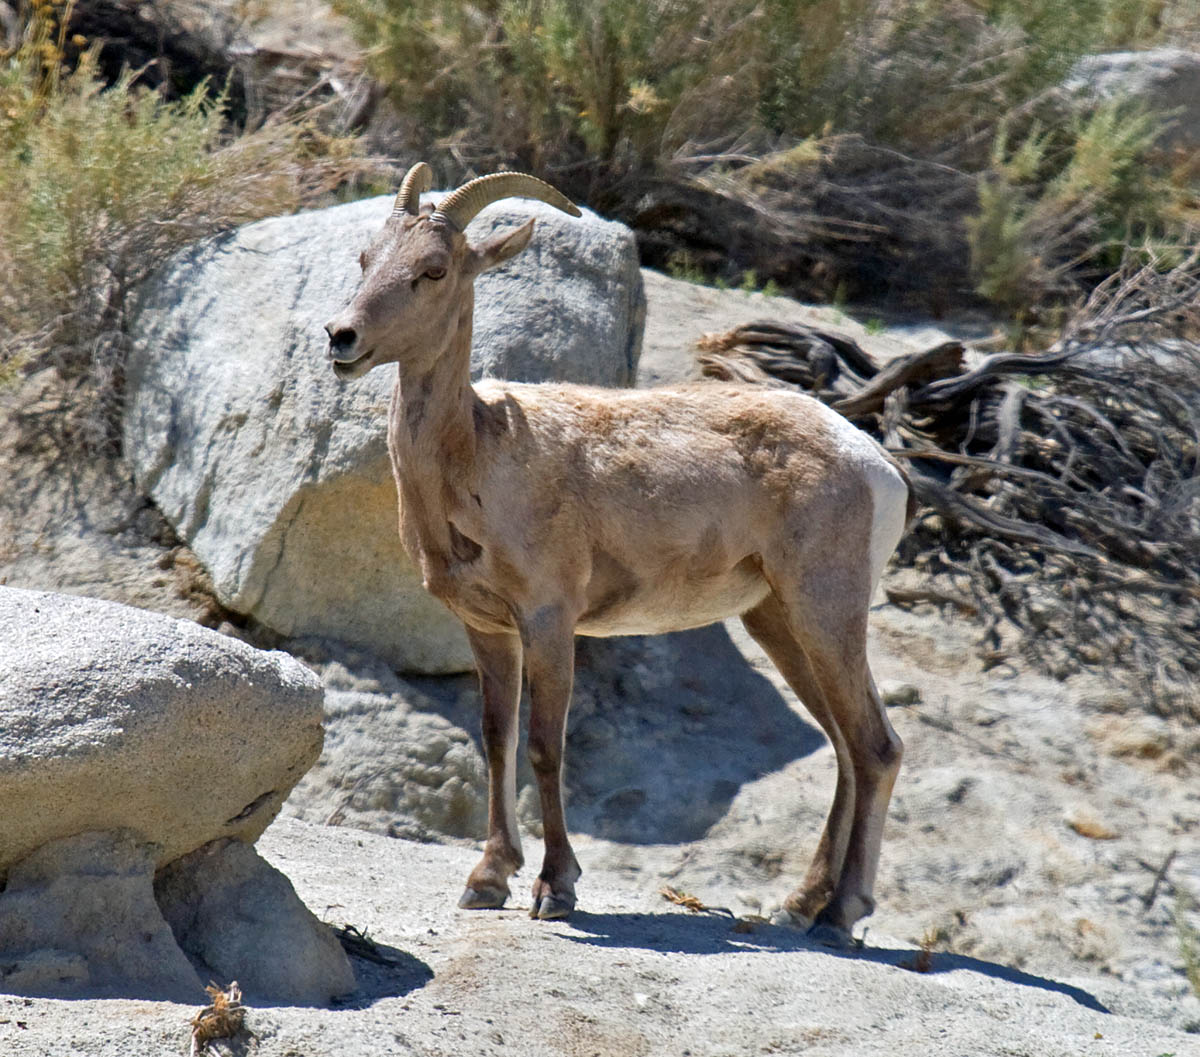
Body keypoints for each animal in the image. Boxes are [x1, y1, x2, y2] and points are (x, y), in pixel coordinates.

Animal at [322, 163, 914, 944]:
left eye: (434, 269)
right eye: (366, 259)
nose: (342, 337)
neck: (478, 454)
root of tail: (879, 467)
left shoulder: (549, 620)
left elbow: (545, 746)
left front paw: (555, 889)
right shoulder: (486, 628)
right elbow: (496, 738)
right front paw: (487, 881)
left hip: (827, 611)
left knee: (876, 746)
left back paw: (841, 918)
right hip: (779, 622)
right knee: (847, 746)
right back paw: (800, 905)